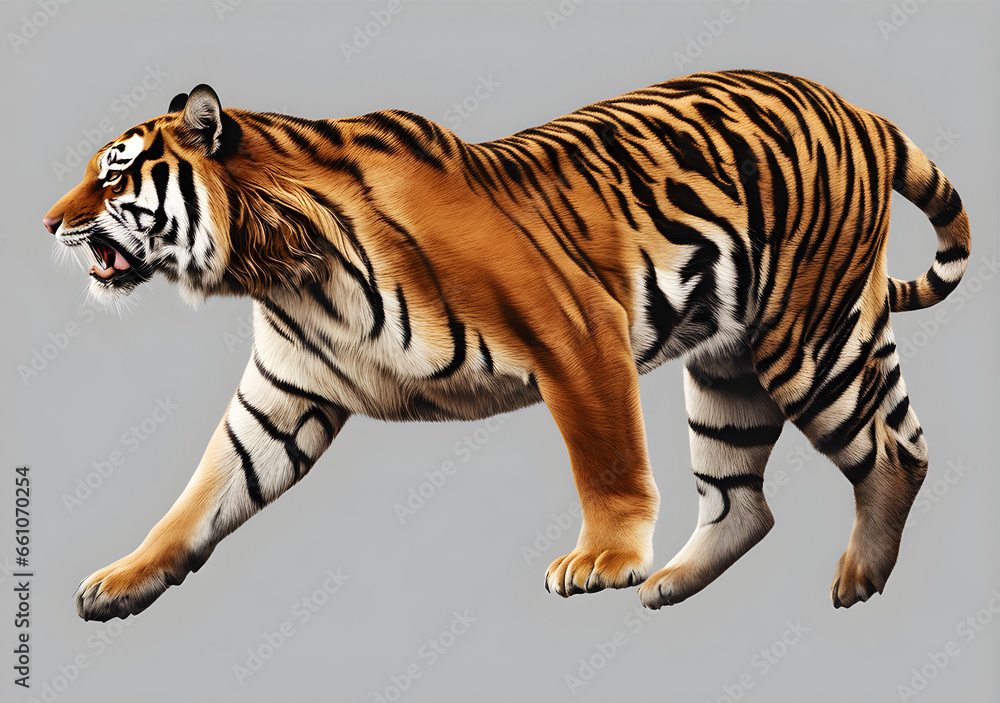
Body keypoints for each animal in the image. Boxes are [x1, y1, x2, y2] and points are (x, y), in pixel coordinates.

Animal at [44, 70, 970, 622]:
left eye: (115, 174)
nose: (50, 222)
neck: (280, 267)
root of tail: (852, 105)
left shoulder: (580, 335)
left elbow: (608, 460)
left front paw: (604, 559)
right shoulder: (284, 392)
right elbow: (207, 490)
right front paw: (125, 576)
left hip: (807, 340)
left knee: (896, 451)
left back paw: (857, 580)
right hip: (728, 367)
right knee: (745, 500)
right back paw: (673, 582)